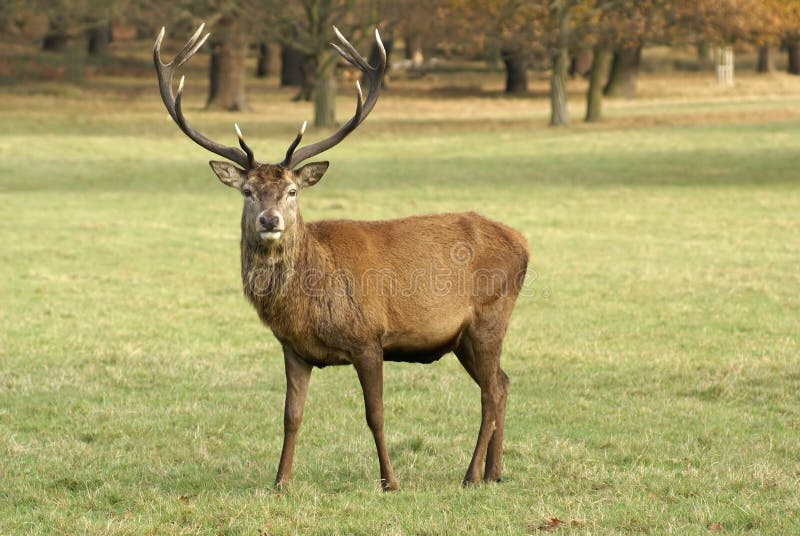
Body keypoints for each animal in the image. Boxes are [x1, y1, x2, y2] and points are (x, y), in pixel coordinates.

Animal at [154, 24, 529, 491]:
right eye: (248, 191)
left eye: (292, 191)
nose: (269, 219)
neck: (306, 302)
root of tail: (523, 243)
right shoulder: (293, 348)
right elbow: (290, 416)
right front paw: (280, 482)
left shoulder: (368, 337)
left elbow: (376, 415)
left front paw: (390, 482)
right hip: (461, 337)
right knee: (503, 382)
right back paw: (495, 472)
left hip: (489, 317)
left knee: (491, 391)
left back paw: (471, 475)